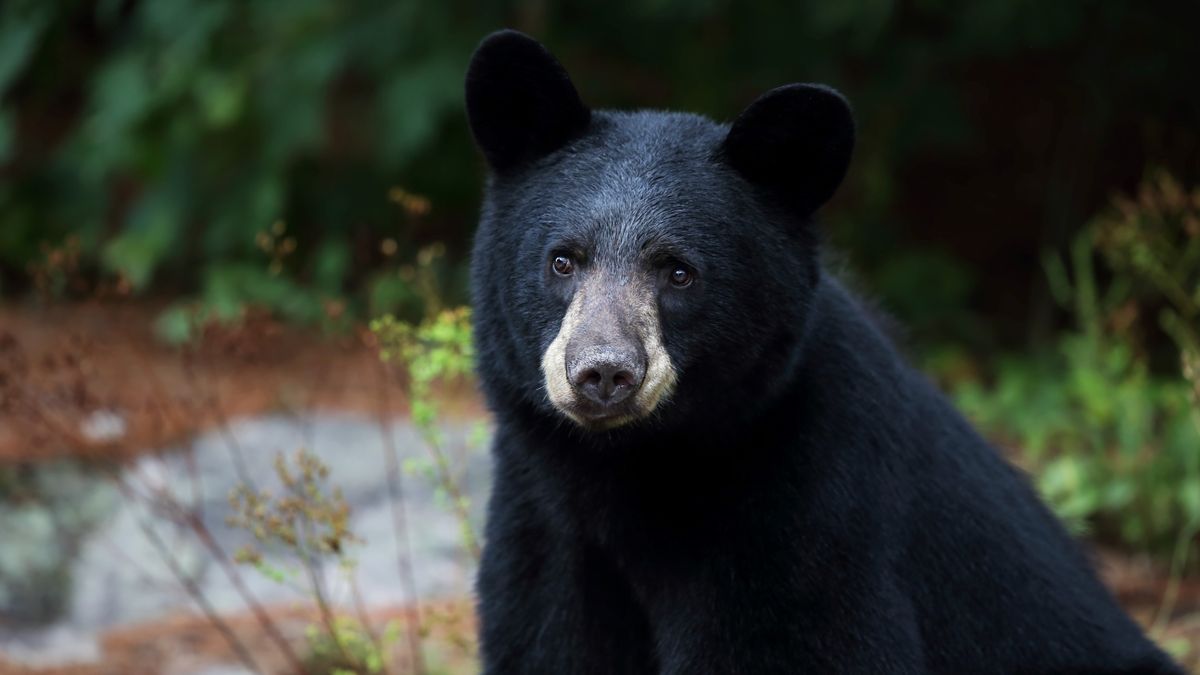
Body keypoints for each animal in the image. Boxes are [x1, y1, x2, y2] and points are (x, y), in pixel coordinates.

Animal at [464, 29, 1183, 675]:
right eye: (562, 260)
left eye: (679, 273)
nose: (604, 372)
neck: (632, 472)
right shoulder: (545, 536)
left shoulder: (810, 517)